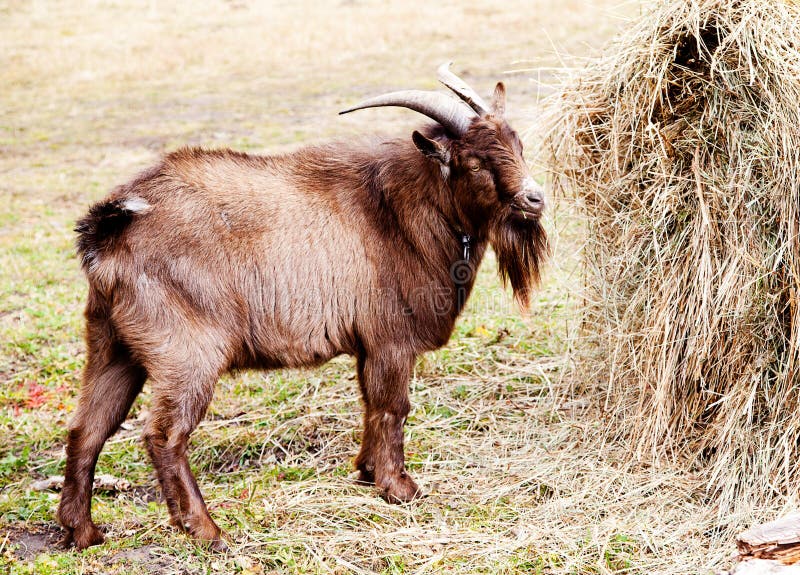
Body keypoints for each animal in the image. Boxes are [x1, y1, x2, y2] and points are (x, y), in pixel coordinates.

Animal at [57, 63, 548, 550]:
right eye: (475, 162)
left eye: (518, 145)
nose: (534, 199)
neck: (402, 211)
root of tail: (113, 226)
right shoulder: (391, 340)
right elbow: (392, 407)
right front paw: (399, 488)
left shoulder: (368, 346)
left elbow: (370, 405)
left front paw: (367, 473)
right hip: (187, 352)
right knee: (164, 434)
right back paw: (206, 530)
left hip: (112, 344)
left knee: (88, 429)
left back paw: (83, 531)